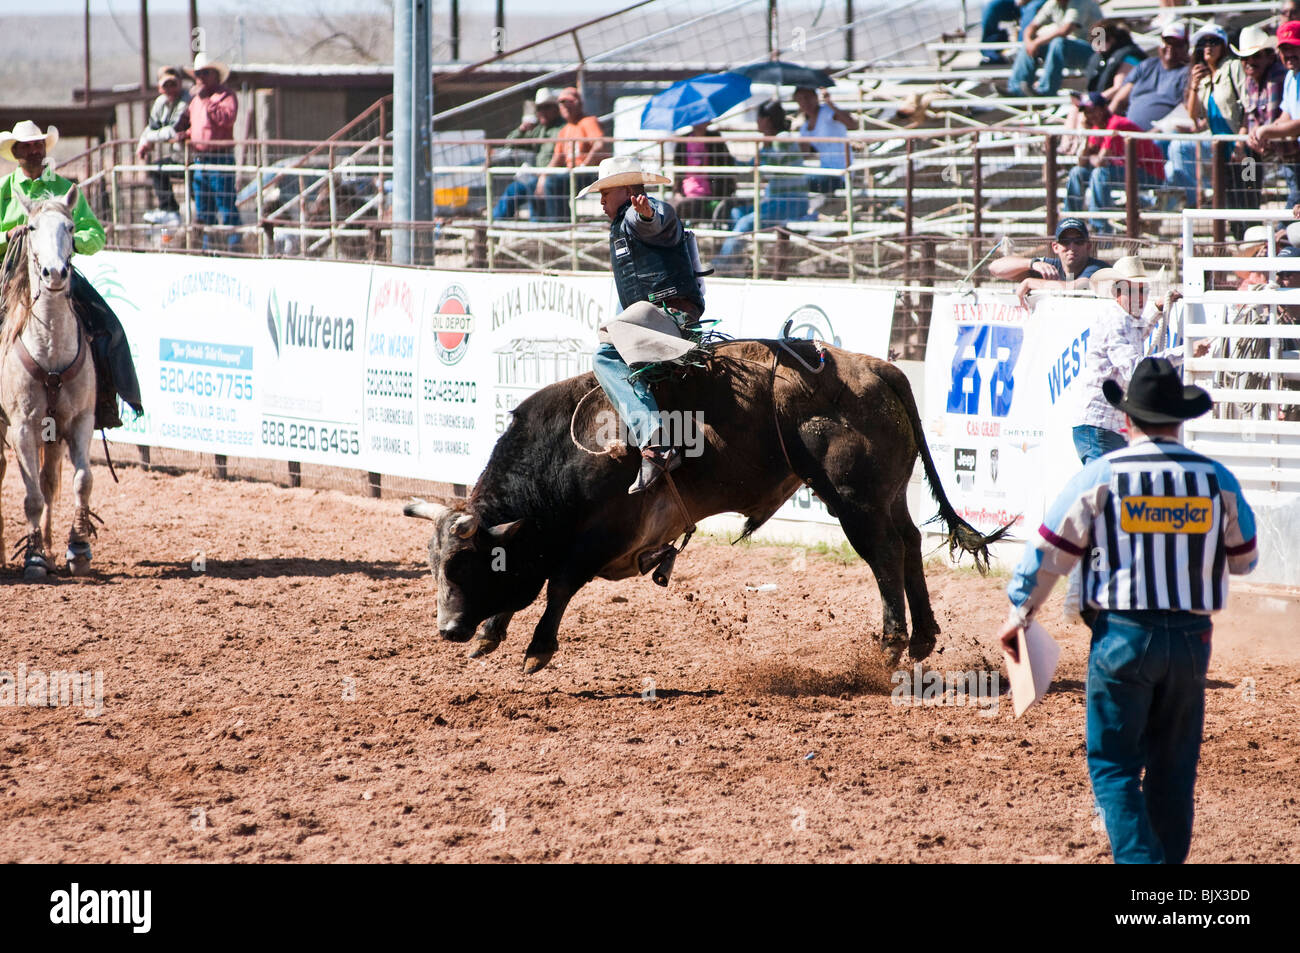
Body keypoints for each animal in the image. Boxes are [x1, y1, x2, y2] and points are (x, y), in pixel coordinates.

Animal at [405, 338, 1010, 674]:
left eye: (469, 564)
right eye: (433, 567)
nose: (448, 629)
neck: (564, 457)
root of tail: (874, 368)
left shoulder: (603, 538)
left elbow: (559, 587)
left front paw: (536, 650)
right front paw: (490, 634)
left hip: (855, 501)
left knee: (884, 555)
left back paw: (890, 646)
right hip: (887, 495)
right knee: (909, 544)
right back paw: (923, 639)